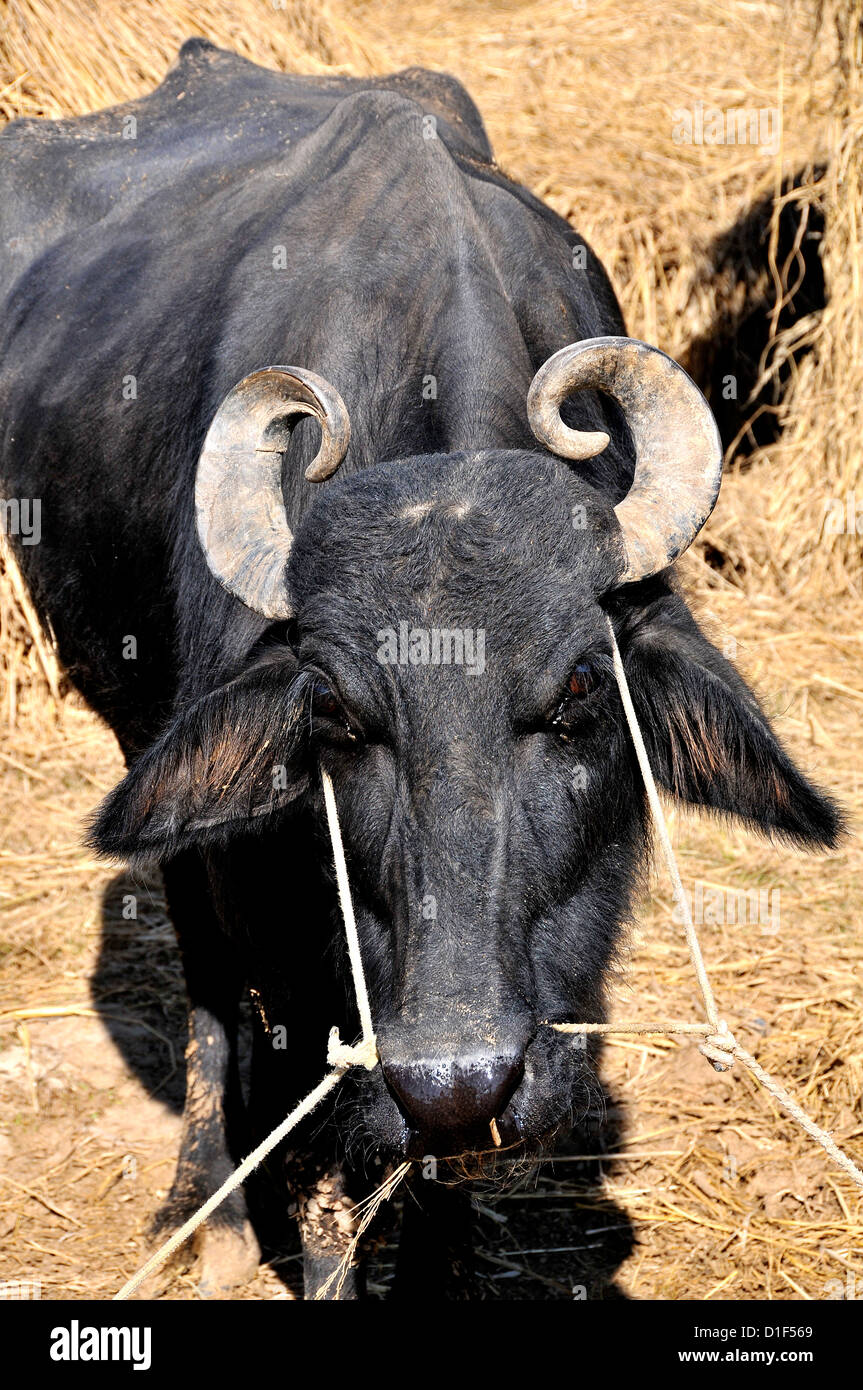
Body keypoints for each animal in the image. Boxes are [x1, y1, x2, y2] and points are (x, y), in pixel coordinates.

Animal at [0, 39, 840, 1299]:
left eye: (580, 688)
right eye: (334, 714)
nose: (456, 1077)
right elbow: (329, 1157)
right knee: (204, 974)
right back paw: (204, 1203)